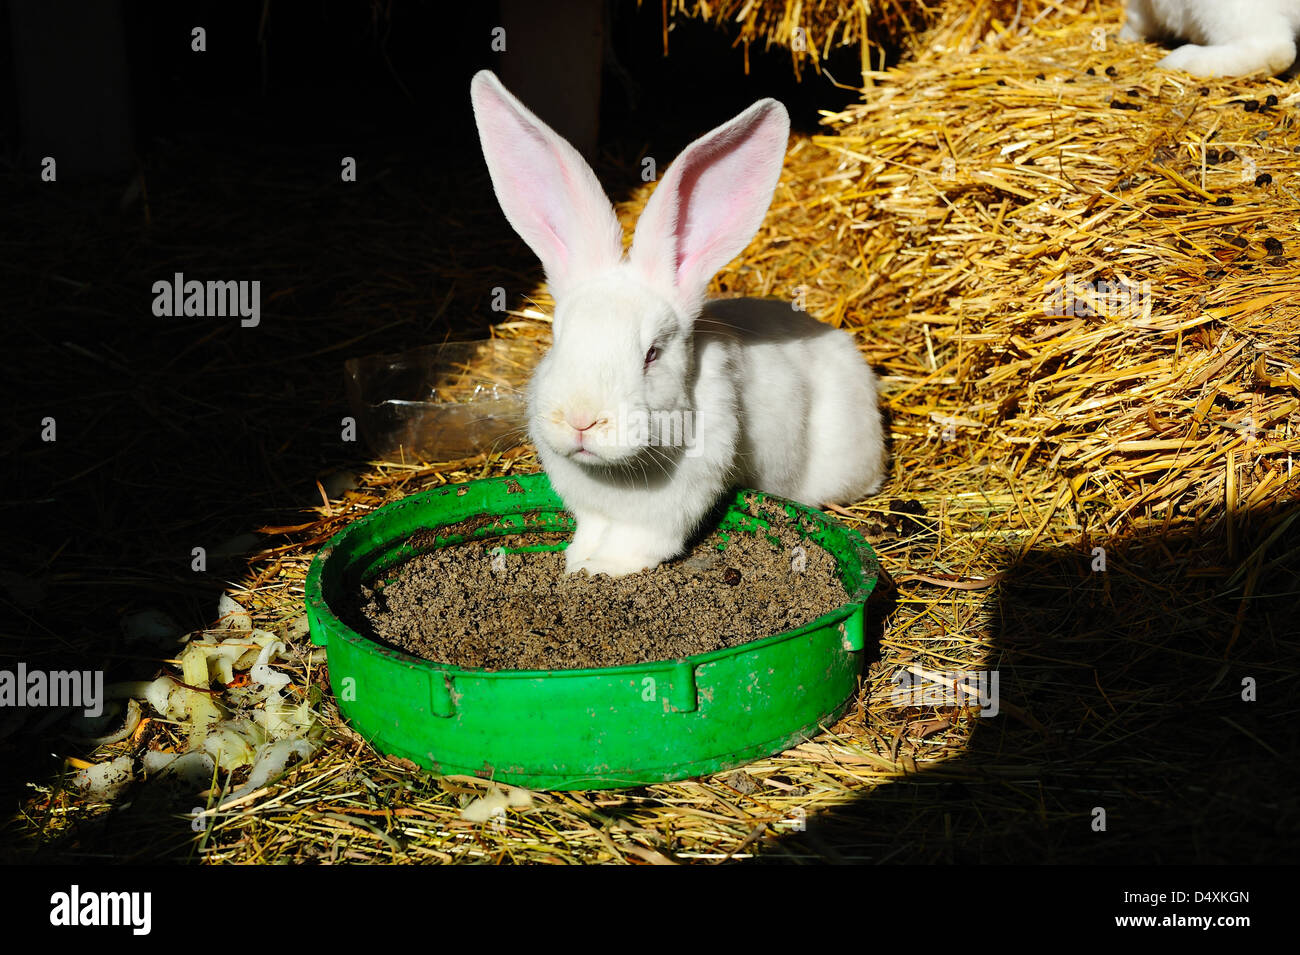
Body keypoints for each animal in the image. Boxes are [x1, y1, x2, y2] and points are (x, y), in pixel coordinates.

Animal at [470, 70, 886, 577]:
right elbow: (591, 530)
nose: (582, 420)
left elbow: (645, 540)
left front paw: (609, 568)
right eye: (557, 339)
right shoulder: (591, 507)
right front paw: (579, 562)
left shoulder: (676, 501)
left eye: (652, 354)